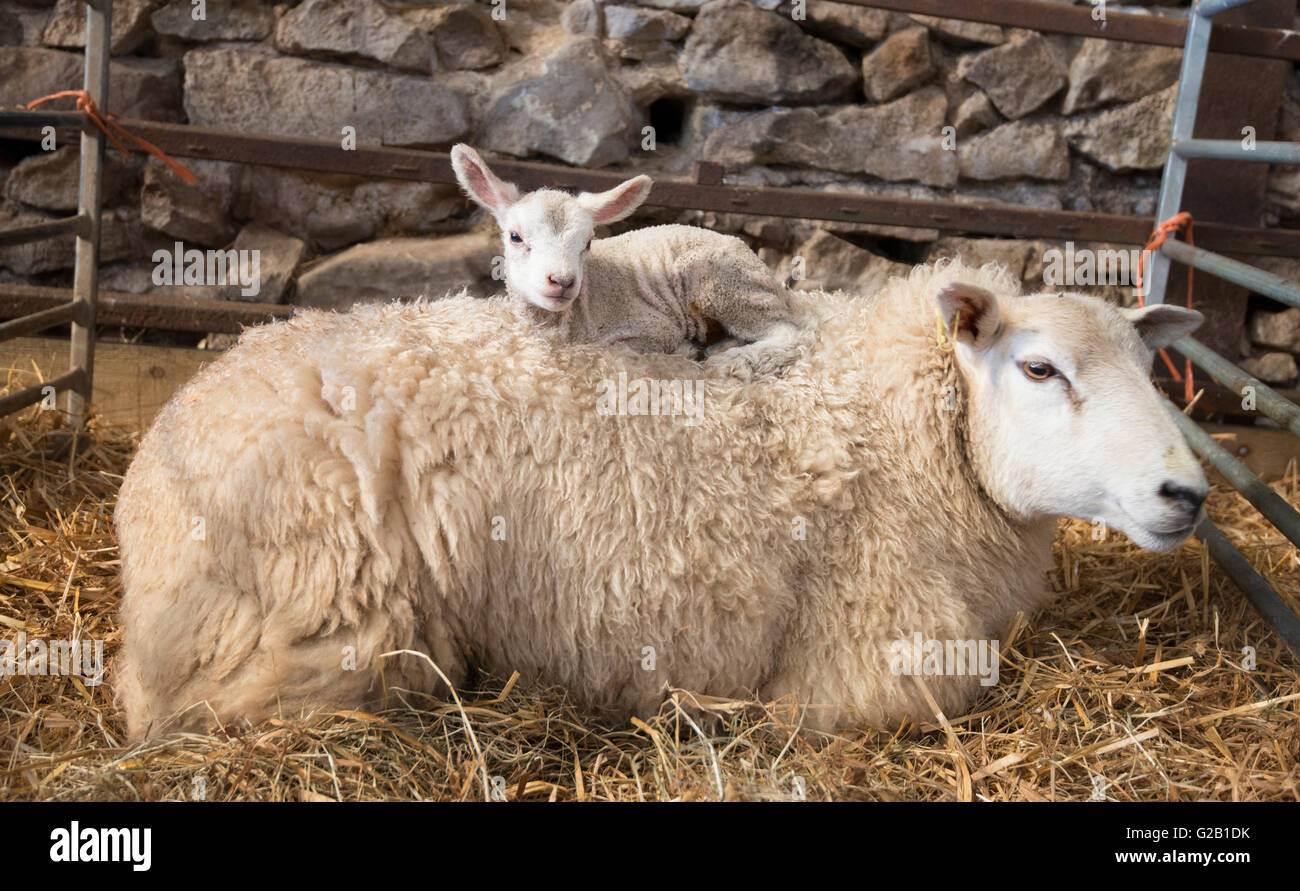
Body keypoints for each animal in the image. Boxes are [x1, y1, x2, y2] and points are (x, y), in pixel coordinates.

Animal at [449, 144, 811, 380]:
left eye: (588, 243)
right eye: (515, 237)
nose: (562, 282)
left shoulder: (652, 326)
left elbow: (624, 350)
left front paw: (683, 351)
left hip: (725, 285)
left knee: (791, 334)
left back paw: (734, 362)